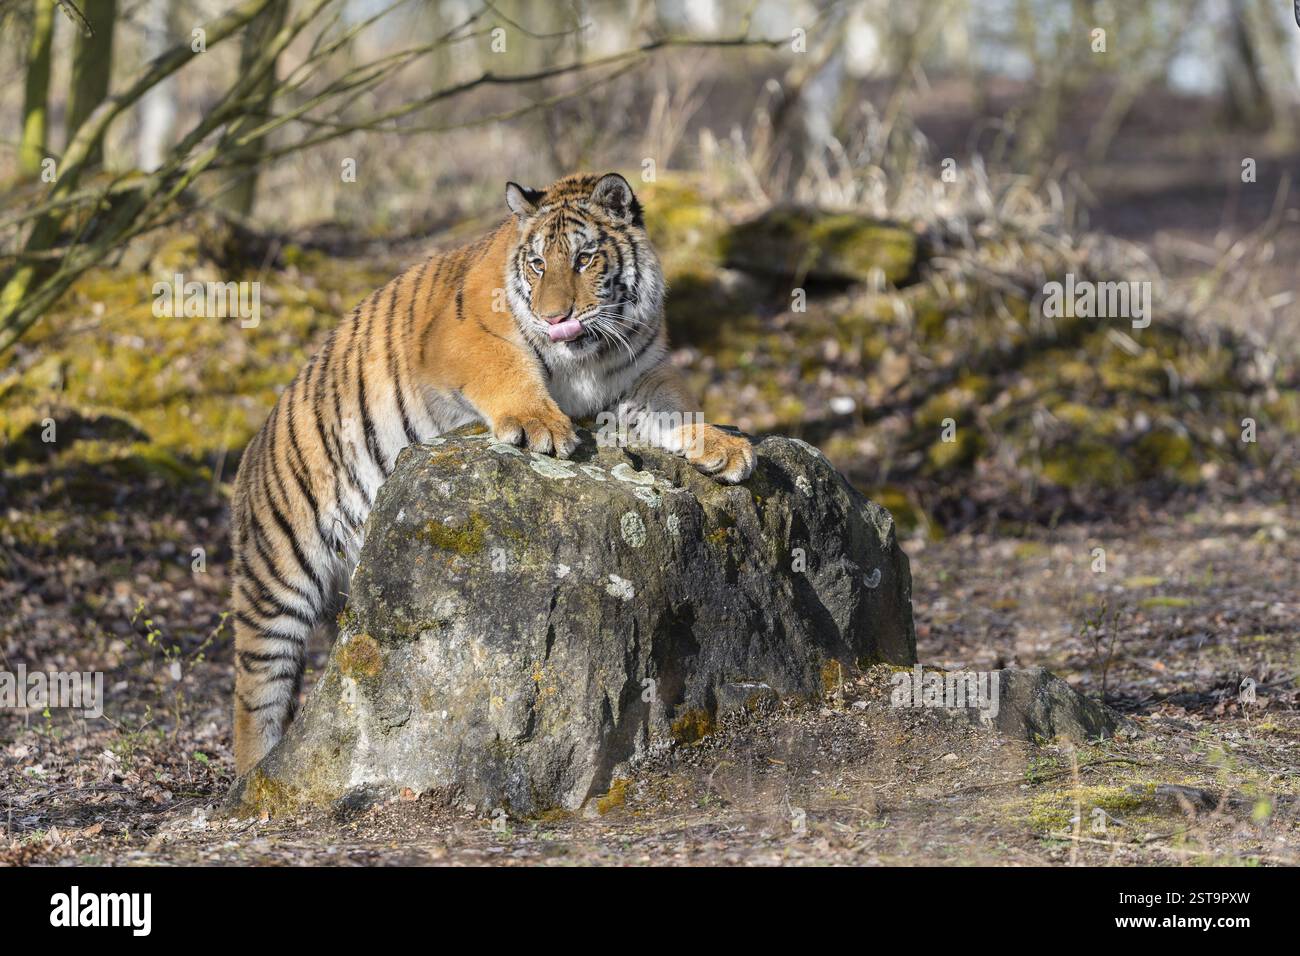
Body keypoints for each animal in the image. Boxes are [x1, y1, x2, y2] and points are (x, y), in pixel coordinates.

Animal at [229, 172, 755, 773]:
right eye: (538, 264)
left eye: (585, 259)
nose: (554, 318)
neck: (589, 358)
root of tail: (250, 449)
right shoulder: (461, 337)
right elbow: (508, 366)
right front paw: (538, 424)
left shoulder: (642, 378)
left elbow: (679, 408)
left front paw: (725, 447)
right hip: (277, 577)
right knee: (255, 696)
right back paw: (253, 777)